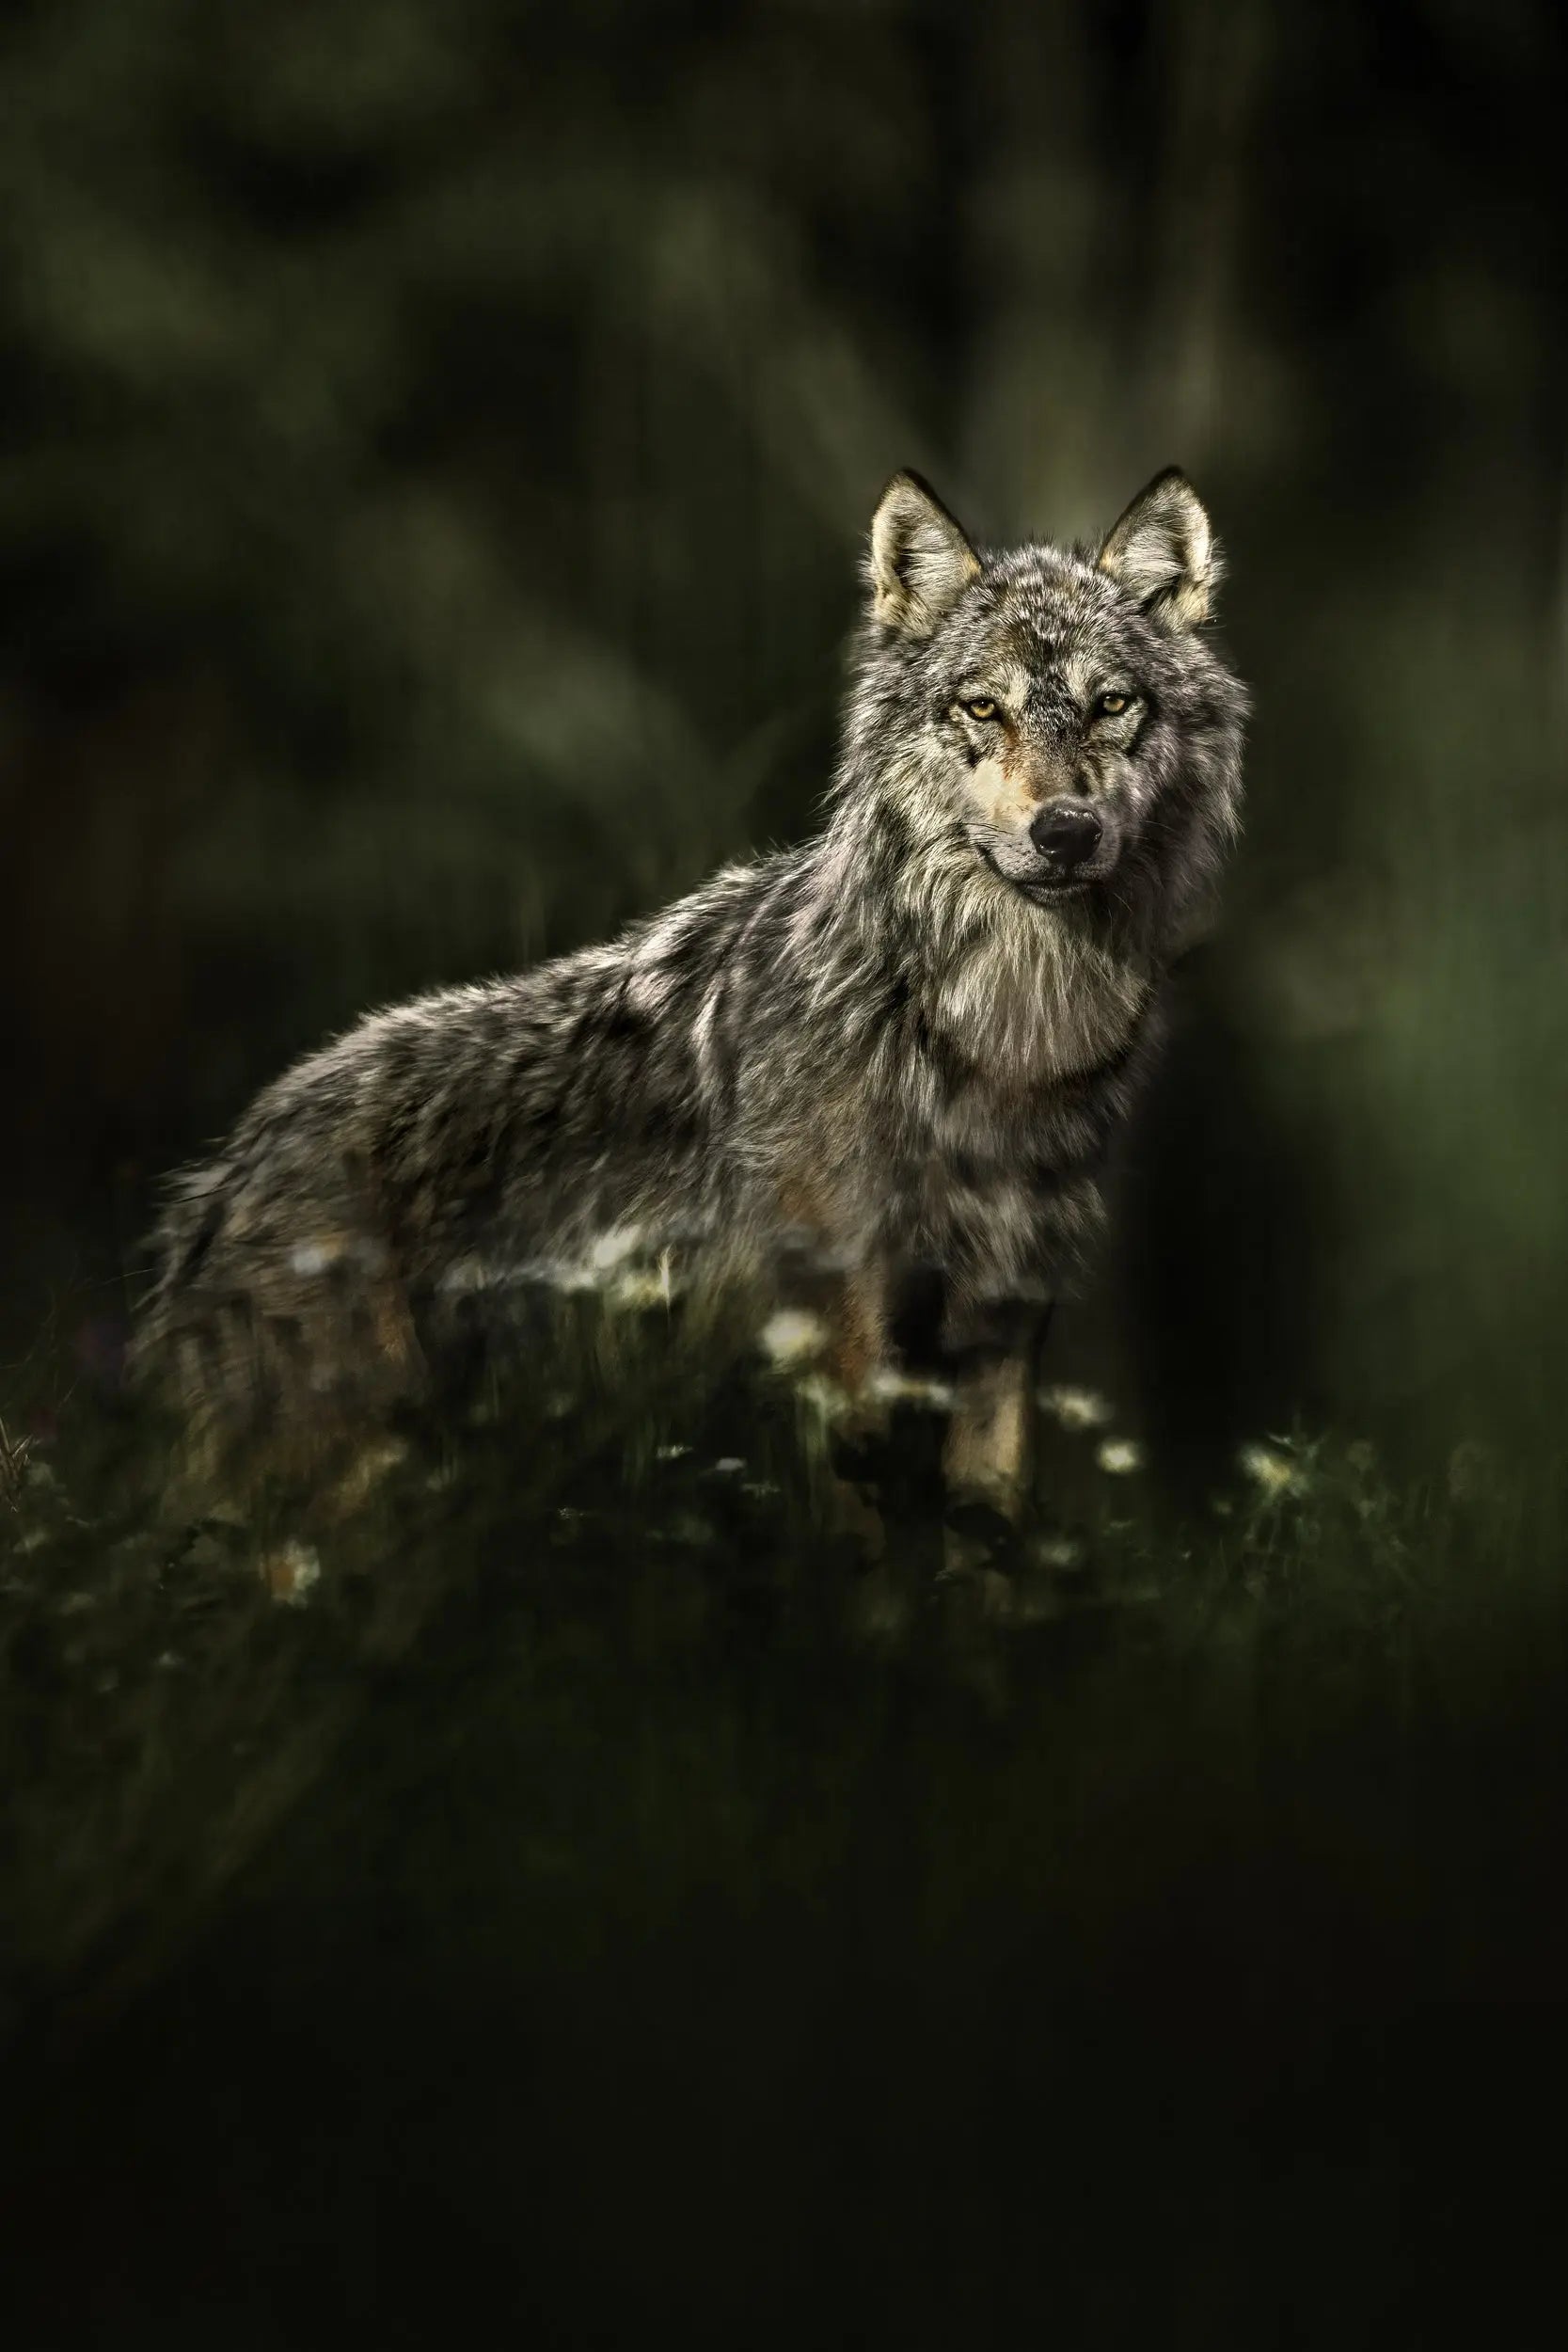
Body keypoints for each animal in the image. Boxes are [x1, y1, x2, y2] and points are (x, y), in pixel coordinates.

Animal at [134, 467, 1247, 1542]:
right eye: (983, 708)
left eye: (1111, 704)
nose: (1065, 831)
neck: (1005, 1032)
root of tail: (226, 1171)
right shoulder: (840, 1336)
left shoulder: (1000, 1333)